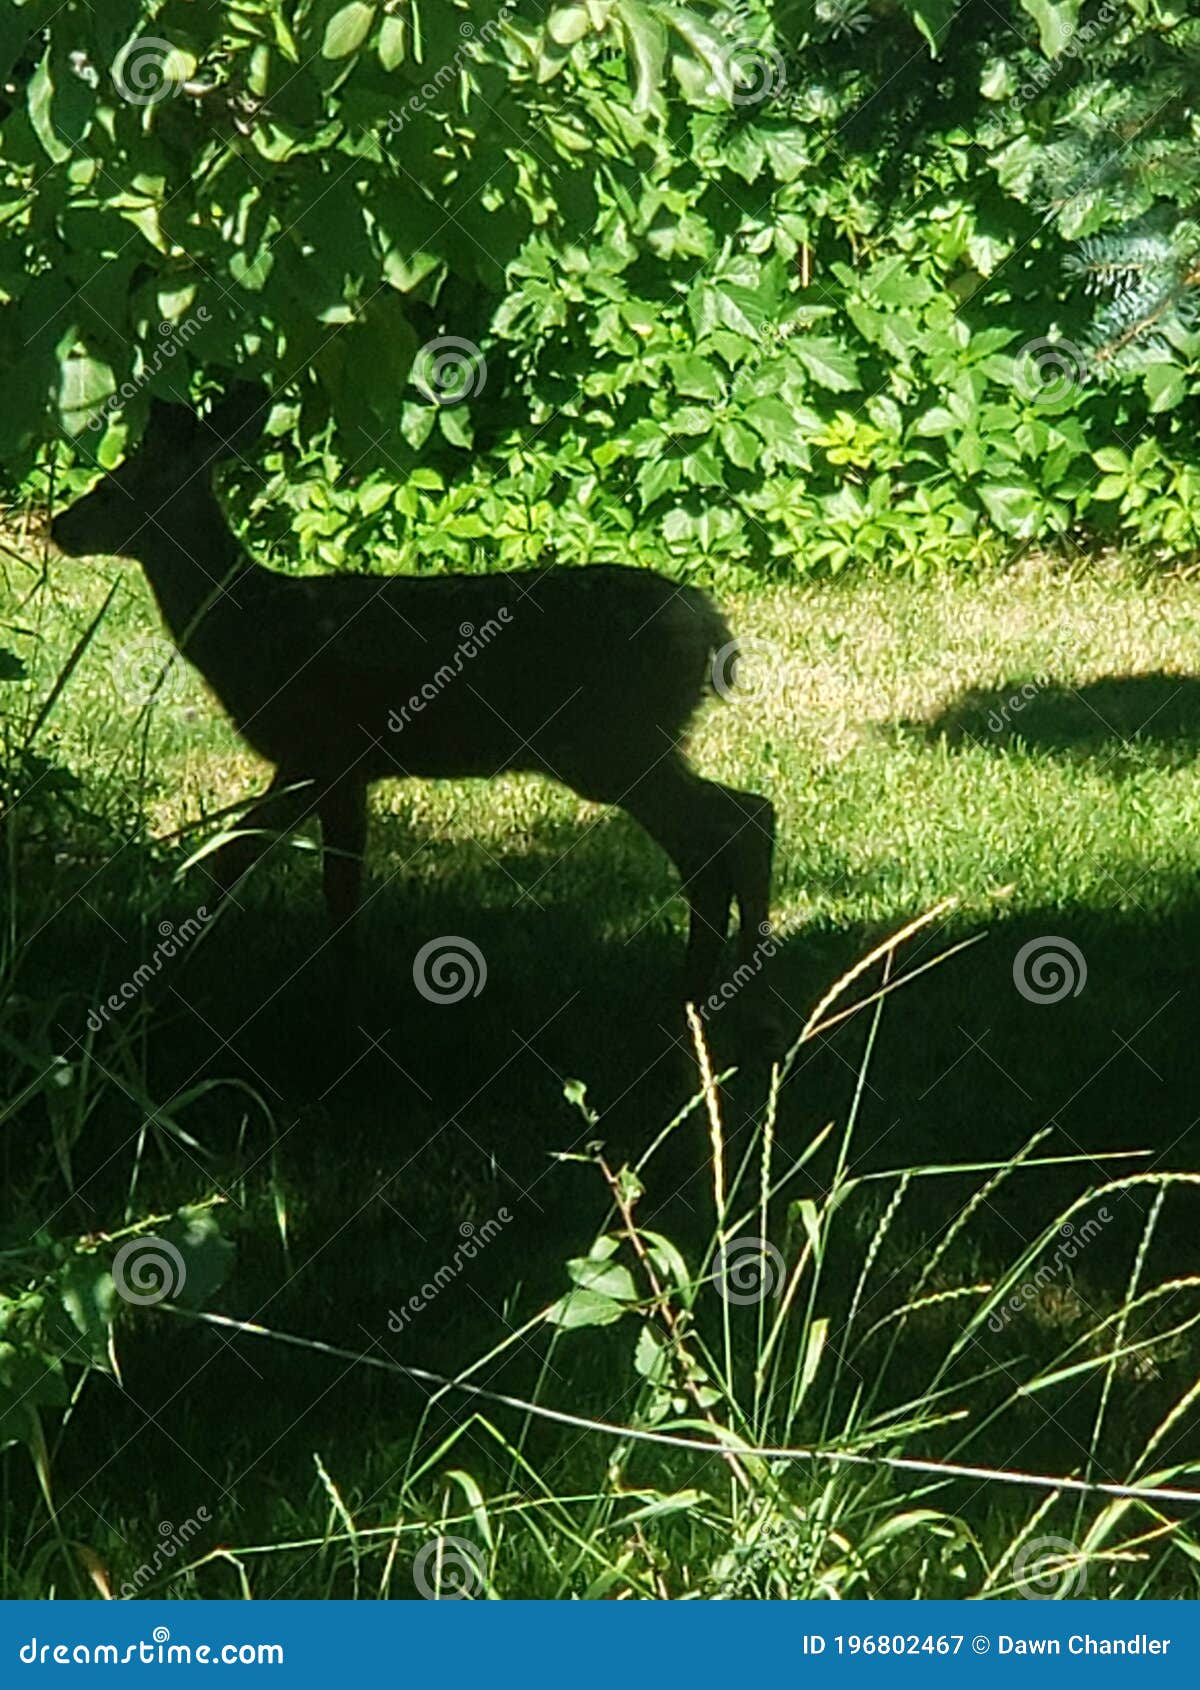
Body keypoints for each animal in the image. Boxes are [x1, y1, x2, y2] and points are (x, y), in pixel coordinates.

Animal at [51, 388, 776, 1012]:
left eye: (111, 489)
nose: (57, 528)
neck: (250, 622)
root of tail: (710, 627)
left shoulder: (319, 749)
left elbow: (266, 866)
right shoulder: (335, 769)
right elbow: (315, 877)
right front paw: (337, 978)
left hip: (611, 744)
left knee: (729, 829)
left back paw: (716, 988)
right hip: (635, 744)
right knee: (740, 820)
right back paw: (723, 982)